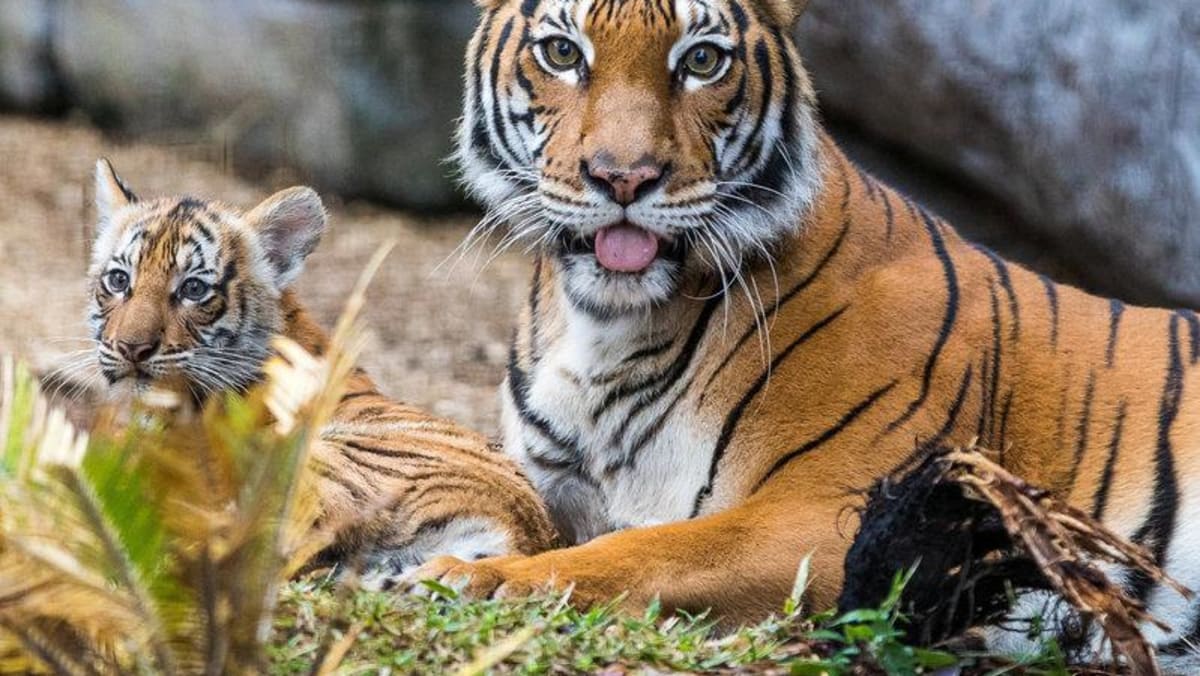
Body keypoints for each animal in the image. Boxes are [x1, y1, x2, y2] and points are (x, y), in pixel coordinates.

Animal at [405, 0, 1200, 666]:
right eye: (563, 52)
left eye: (702, 60)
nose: (623, 178)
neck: (609, 326)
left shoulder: (839, 514)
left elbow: (645, 550)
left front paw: (473, 580)